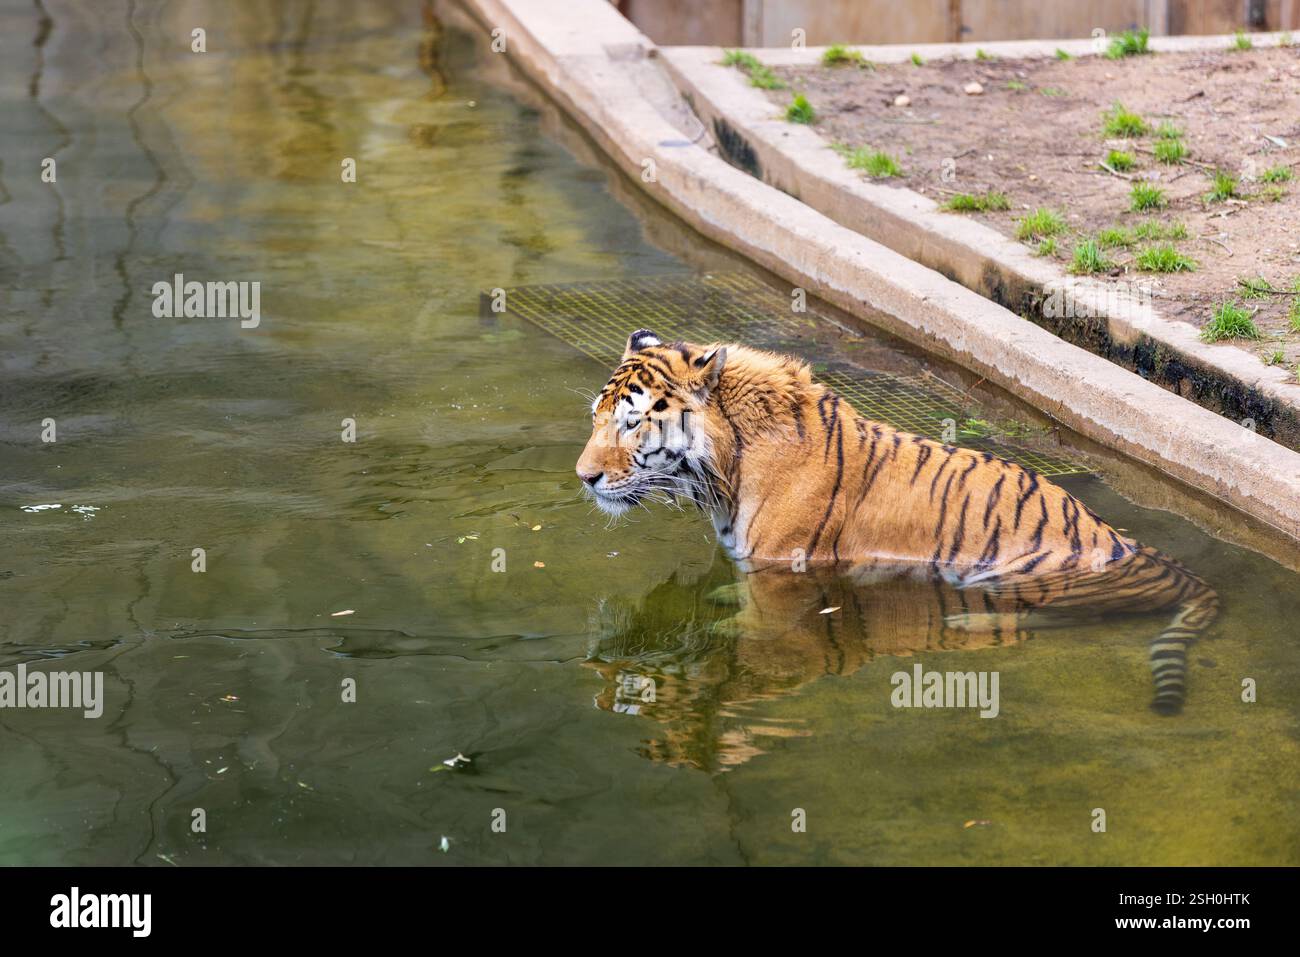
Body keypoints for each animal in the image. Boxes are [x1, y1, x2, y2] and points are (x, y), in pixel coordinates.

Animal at [575, 329, 1221, 715]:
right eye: (597, 418)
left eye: (631, 423)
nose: (584, 477)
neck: (726, 465)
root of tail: (1123, 542)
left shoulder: (782, 574)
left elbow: (761, 623)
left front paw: (726, 623)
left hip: (1022, 576)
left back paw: (967, 624)